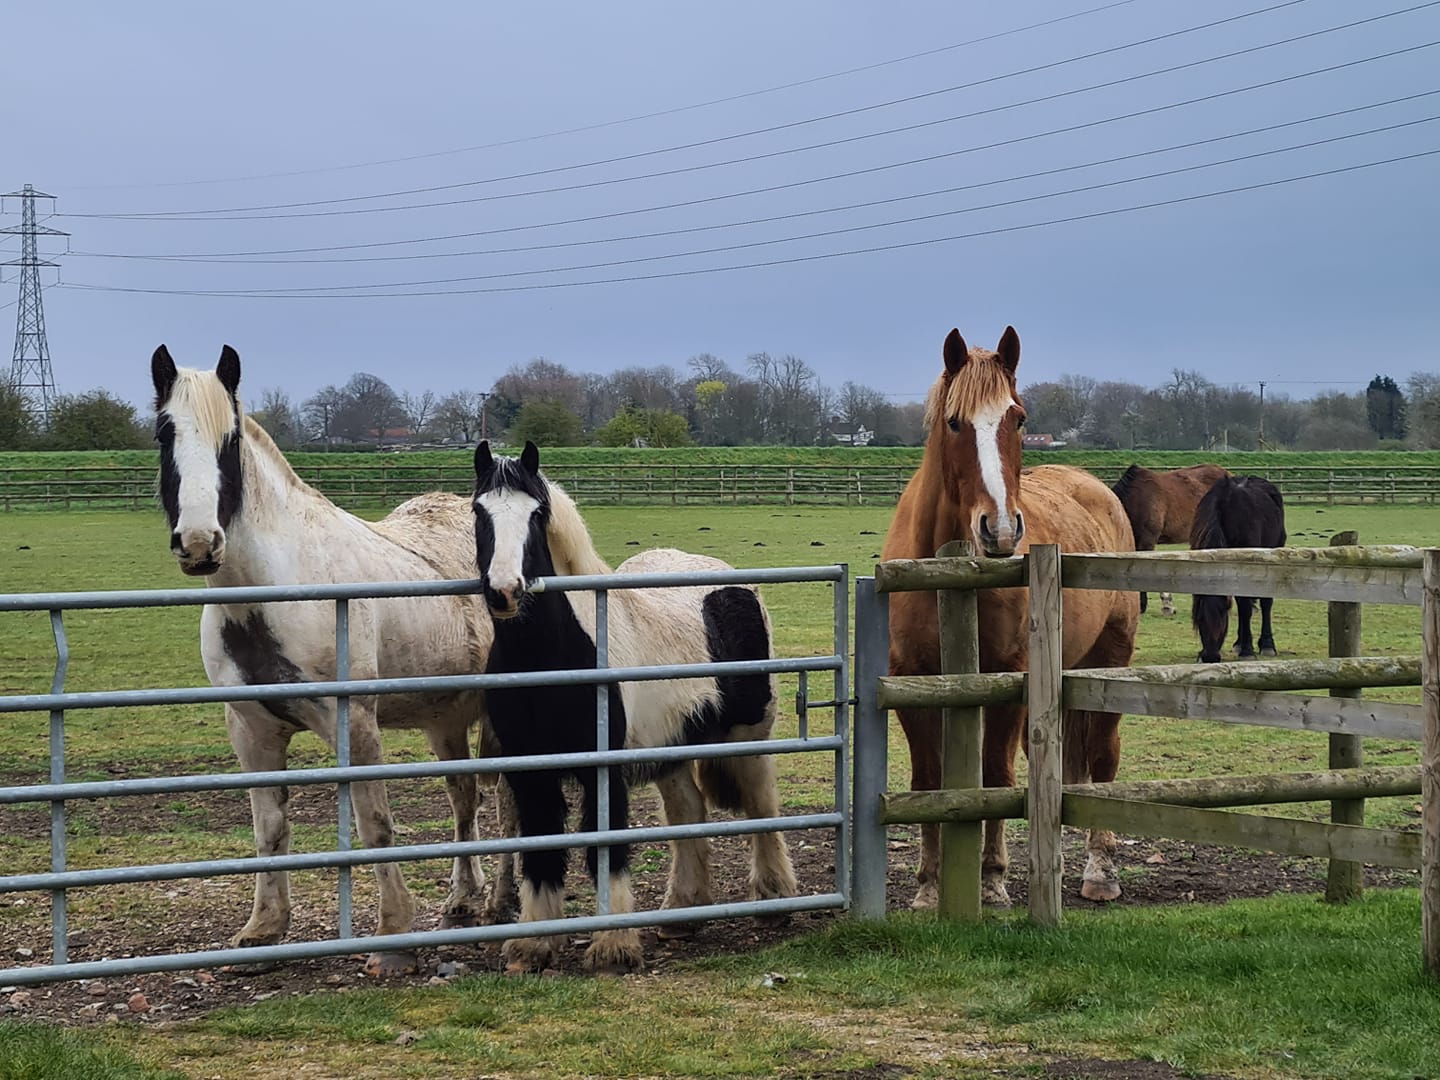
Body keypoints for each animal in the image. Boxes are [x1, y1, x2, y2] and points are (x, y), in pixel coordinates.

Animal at [151, 344, 515, 977]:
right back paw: (464, 899)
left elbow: (375, 824)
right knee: (463, 796)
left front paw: (393, 937)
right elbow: (270, 829)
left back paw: (503, 900)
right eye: (162, 433)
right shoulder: (252, 731)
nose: (199, 543)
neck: (271, 593)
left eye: (230, 440)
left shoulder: (355, 725)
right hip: (444, 720)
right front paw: (263, 930)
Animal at [471, 440, 798, 975]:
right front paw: (533, 944)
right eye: (479, 512)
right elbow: (541, 849)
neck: (554, 656)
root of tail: (730, 582)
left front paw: (613, 946)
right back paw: (682, 912)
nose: (504, 590)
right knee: (688, 813)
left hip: (747, 736)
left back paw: (774, 900)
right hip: (672, 750)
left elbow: (605, 847)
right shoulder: (530, 770)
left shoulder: (603, 770)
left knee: (762, 807)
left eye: (537, 514)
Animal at [882, 326, 1140, 908]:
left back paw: (1100, 872)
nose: (1000, 529)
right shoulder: (912, 681)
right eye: (955, 421)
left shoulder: (1008, 680)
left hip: (1108, 661)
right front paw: (929, 886)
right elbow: (929, 781)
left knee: (1102, 756)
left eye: (1017, 419)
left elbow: (996, 776)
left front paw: (993, 879)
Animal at [1189, 475, 1287, 663]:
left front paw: (1248, 651)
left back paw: (1267, 645)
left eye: (1223, 615)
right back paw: (1240, 643)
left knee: (1265, 603)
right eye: (1199, 618)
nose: (1210, 657)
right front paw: (1242, 645)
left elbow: (1245, 606)